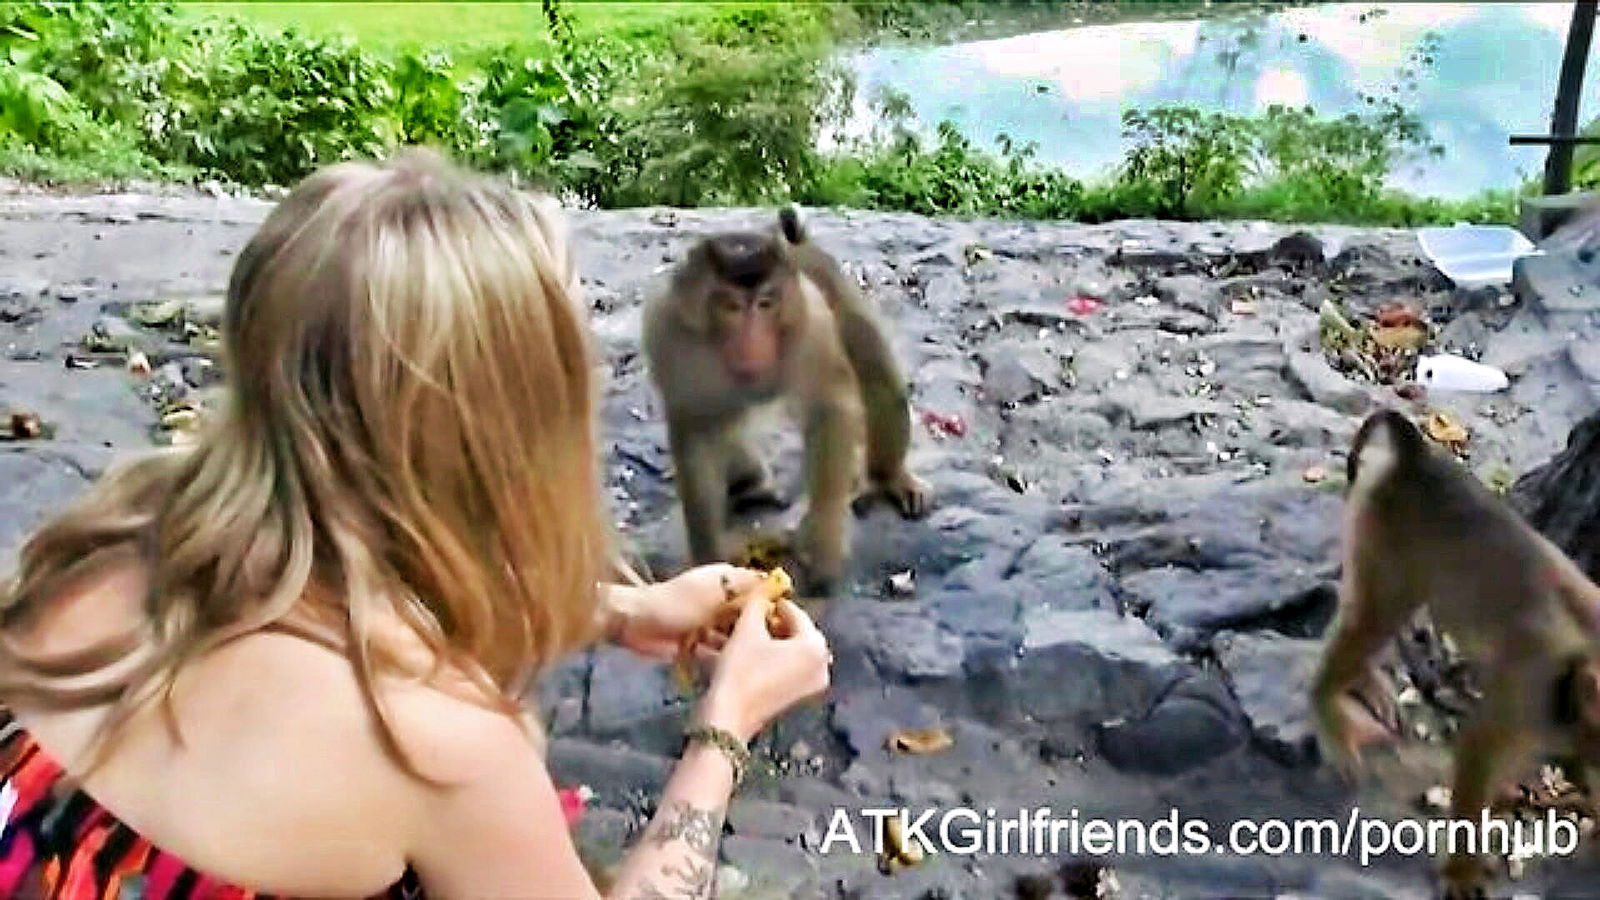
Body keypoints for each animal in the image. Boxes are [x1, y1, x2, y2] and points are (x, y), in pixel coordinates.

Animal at [641, 207, 929, 594]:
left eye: (766, 303)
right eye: (732, 307)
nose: (753, 342)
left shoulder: (811, 326)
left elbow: (831, 407)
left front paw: (822, 543)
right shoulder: (669, 335)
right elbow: (696, 428)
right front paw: (709, 559)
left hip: (831, 286)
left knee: (877, 375)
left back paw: (888, 477)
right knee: (727, 421)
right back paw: (751, 484)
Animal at [1312, 408, 1600, 897]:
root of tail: (1419, 456)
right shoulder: (1534, 686)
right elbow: (1479, 748)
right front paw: (1462, 870)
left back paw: (1363, 679)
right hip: (1390, 541)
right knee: (1376, 615)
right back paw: (1329, 706)